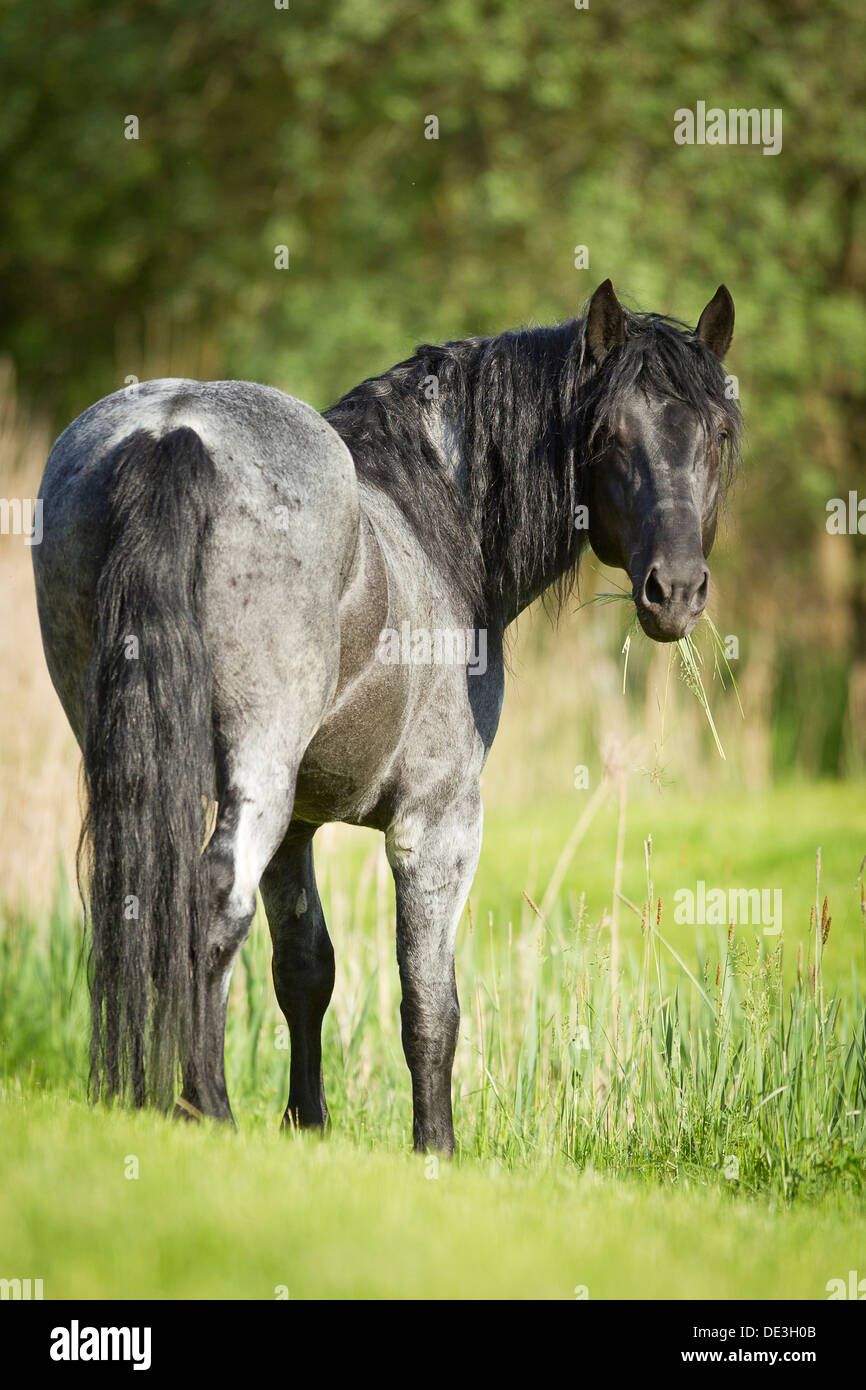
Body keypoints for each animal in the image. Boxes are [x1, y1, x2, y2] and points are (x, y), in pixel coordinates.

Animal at [32, 279, 739, 1153]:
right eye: (607, 435)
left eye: (716, 434)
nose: (674, 591)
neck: (430, 526)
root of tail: (175, 429)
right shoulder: (437, 825)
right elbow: (430, 1004)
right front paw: (435, 1147)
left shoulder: (298, 826)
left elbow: (305, 970)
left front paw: (307, 1123)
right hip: (260, 772)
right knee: (213, 905)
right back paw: (208, 1110)